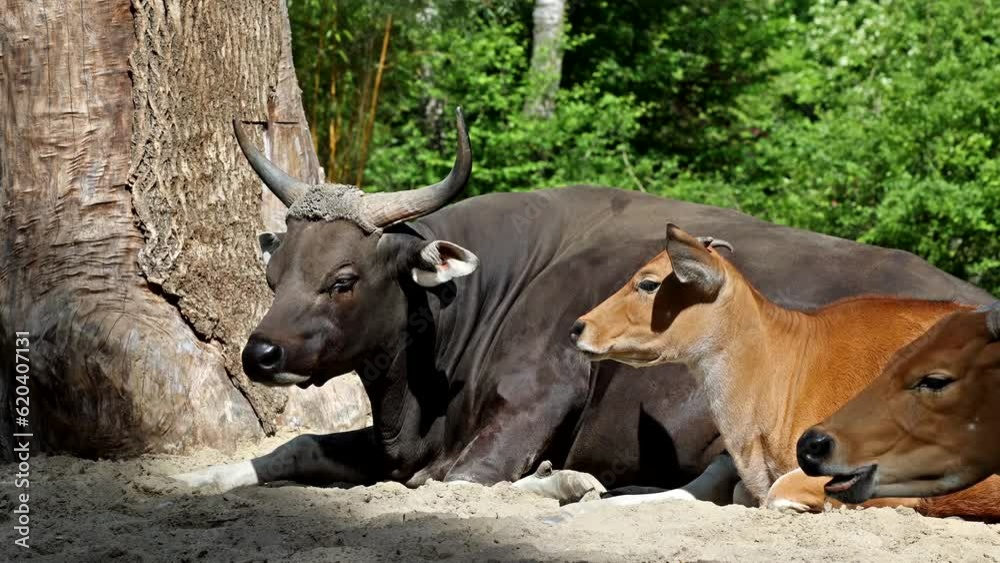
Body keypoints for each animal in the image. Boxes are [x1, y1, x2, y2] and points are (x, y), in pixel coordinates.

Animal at [175, 108, 994, 501]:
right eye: (276, 271)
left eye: (343, 278)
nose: (261, 352)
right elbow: (298, 447)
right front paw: (200, 479)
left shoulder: (538, 395)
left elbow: (442, 481)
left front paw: (559, 477)